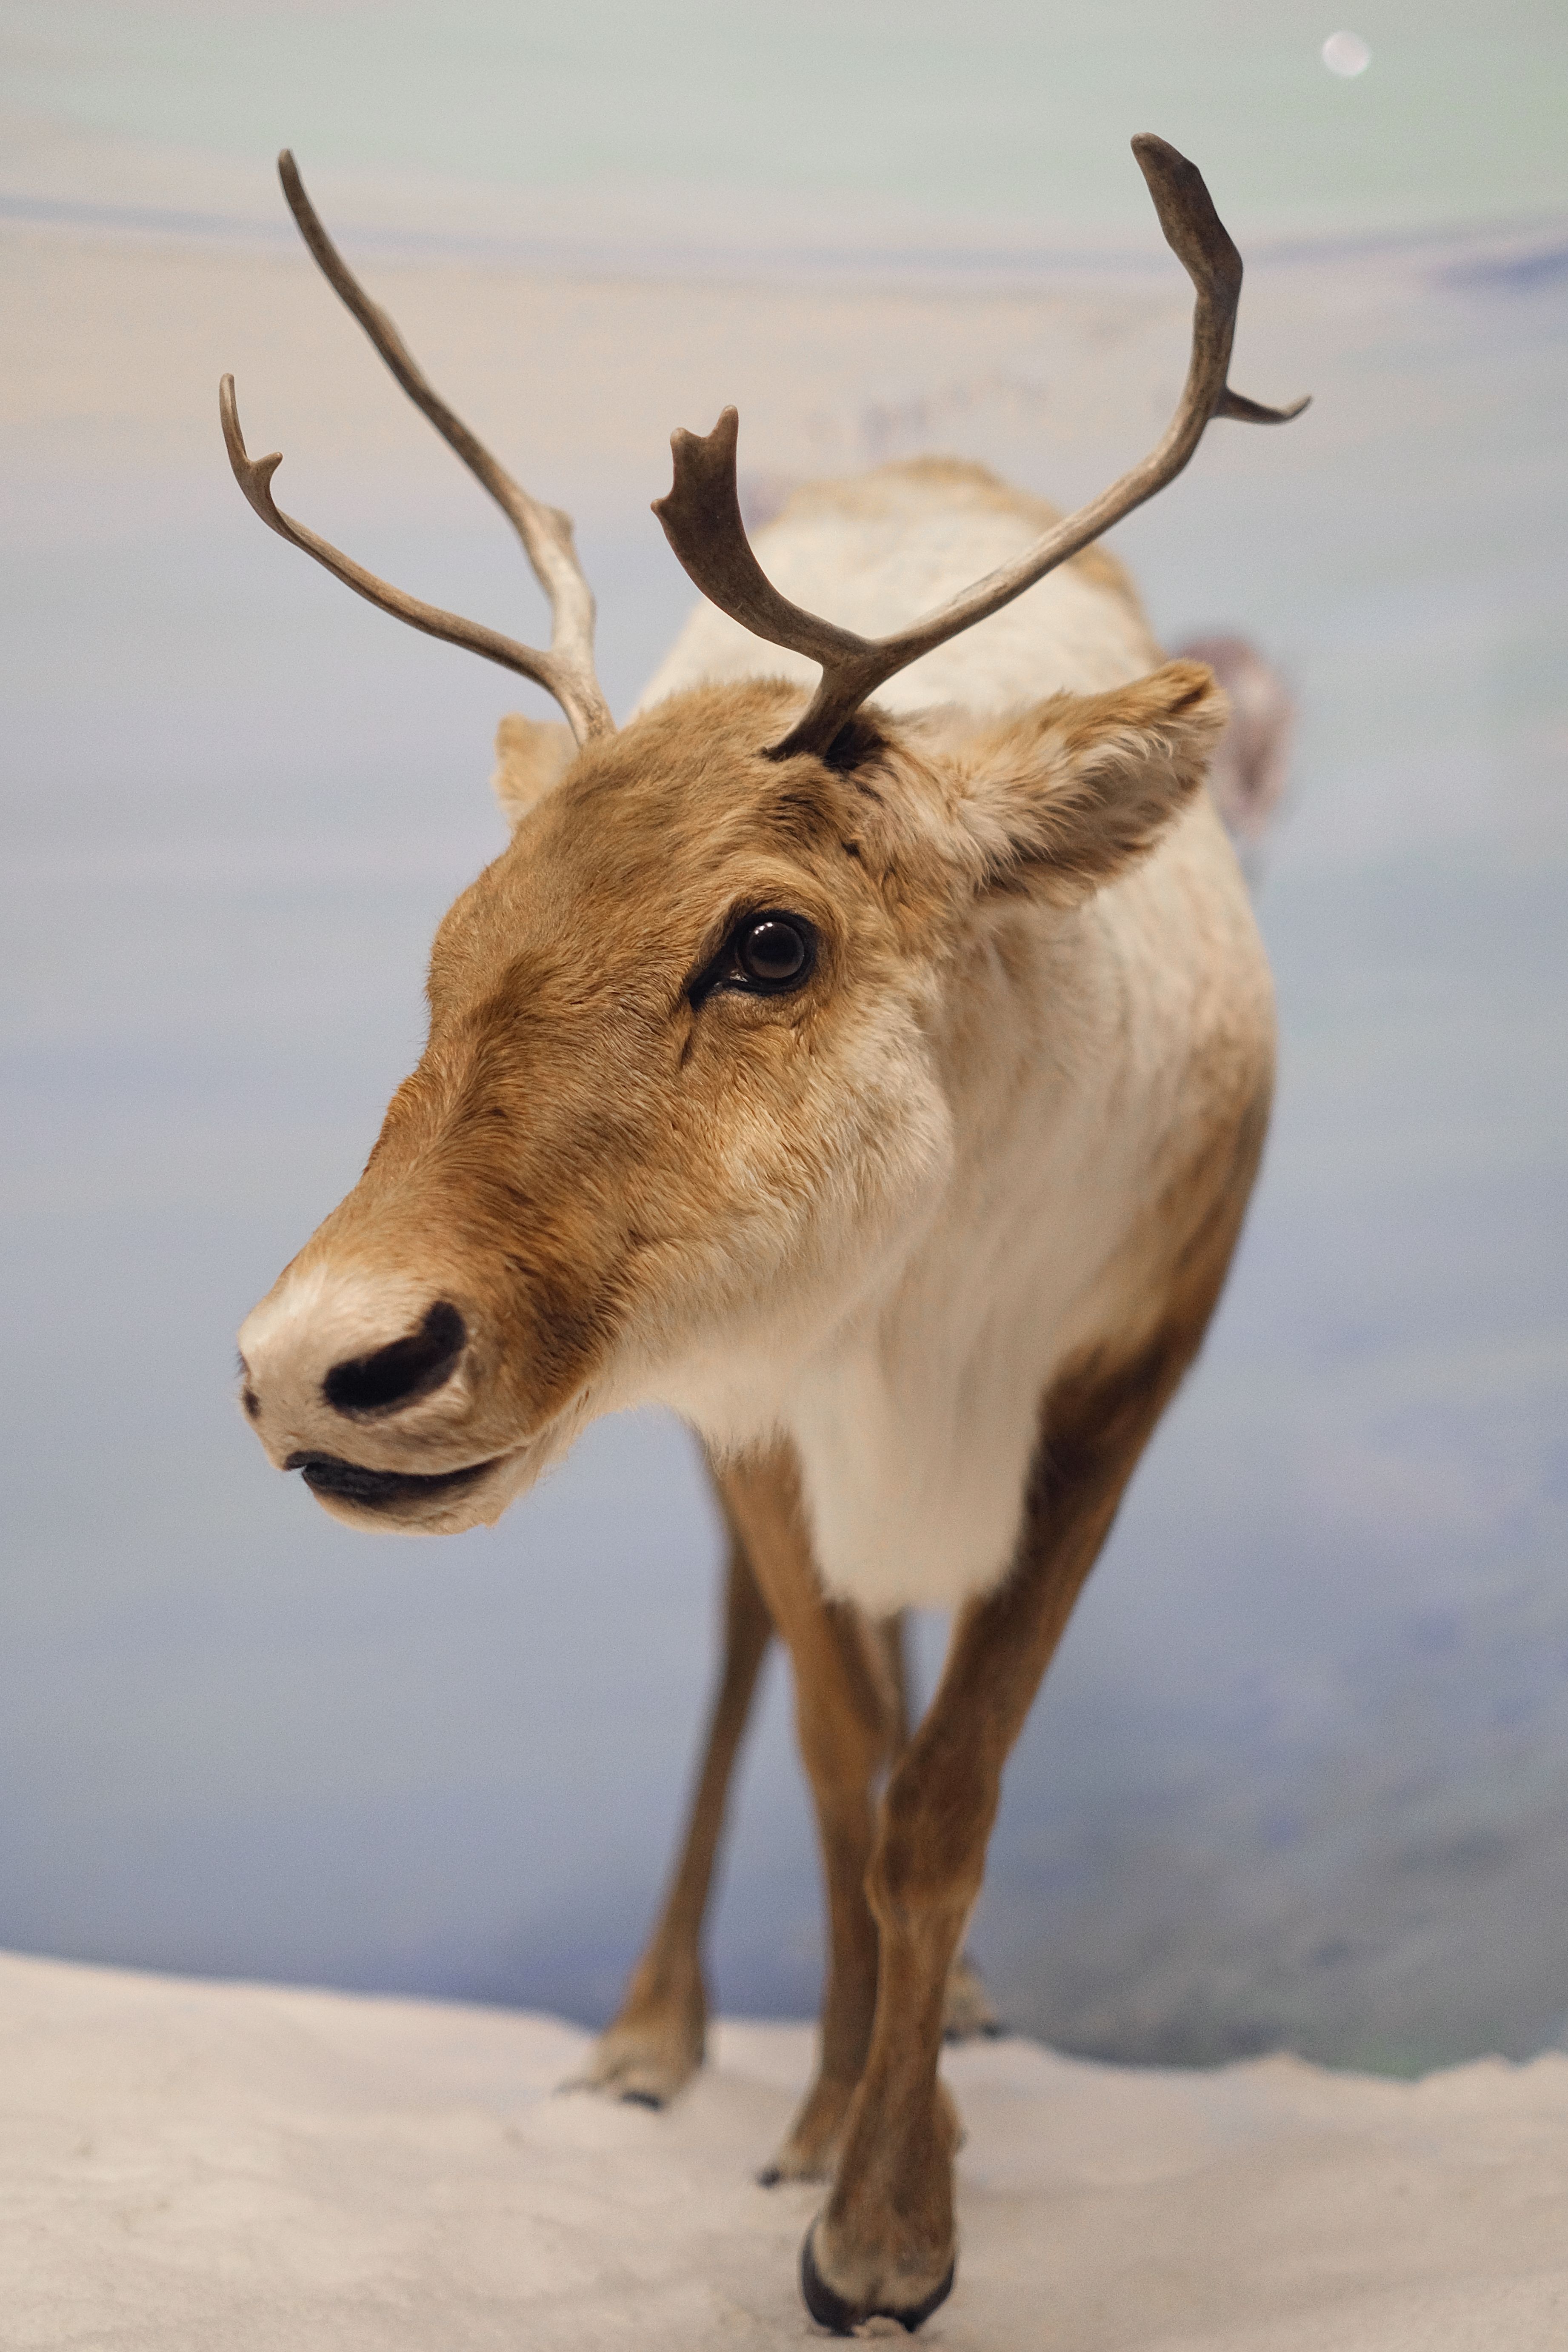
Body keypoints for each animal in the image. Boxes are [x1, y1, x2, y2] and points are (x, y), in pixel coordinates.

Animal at [224, 136, 1304, 2333]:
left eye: (772, 937)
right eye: (458, 937)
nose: (322, 1356)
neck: (926, 1309)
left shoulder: (1137, 1347)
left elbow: (946, 1789)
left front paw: (893, 2230)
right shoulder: (753, 1399)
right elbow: (841, 1756)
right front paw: (846, 2158)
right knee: (774, 1681)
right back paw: (685, 2044)